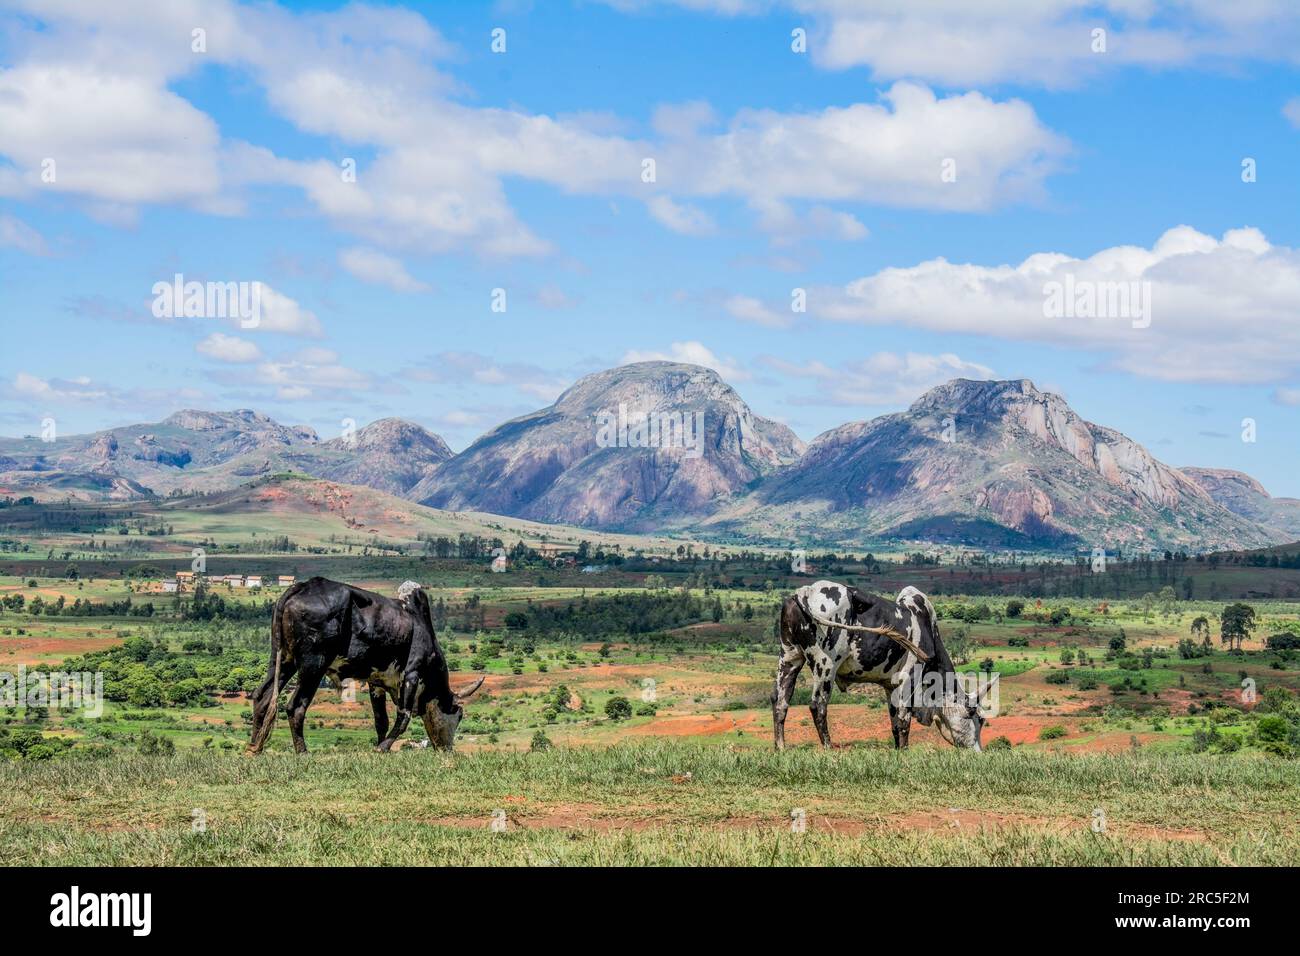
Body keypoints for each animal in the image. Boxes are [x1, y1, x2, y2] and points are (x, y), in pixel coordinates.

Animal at [245, 577, 484, 755]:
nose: (447, 749)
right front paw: (383, 747)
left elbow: (381, 720)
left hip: (283, 659)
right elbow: (403, 716)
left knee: (263, 696)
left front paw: (380, 746)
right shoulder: (412, 674)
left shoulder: (376, 681)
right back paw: (302, 751)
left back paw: (254, 748)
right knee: (295, 706)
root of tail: (301, 587)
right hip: (313, 664)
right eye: (458, 715)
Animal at [772, 580, 991, 751]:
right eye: (976, 717)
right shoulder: (909, 679)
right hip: (825, 665)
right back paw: (828, 748)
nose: (977, 752)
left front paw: (898, 751)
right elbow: (904, 720)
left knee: (780, 701)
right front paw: (905, 752)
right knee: (818, 705)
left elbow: (894, 722)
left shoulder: (889, 686)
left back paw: (780, 748)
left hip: (789, 657)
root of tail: (805, 591)